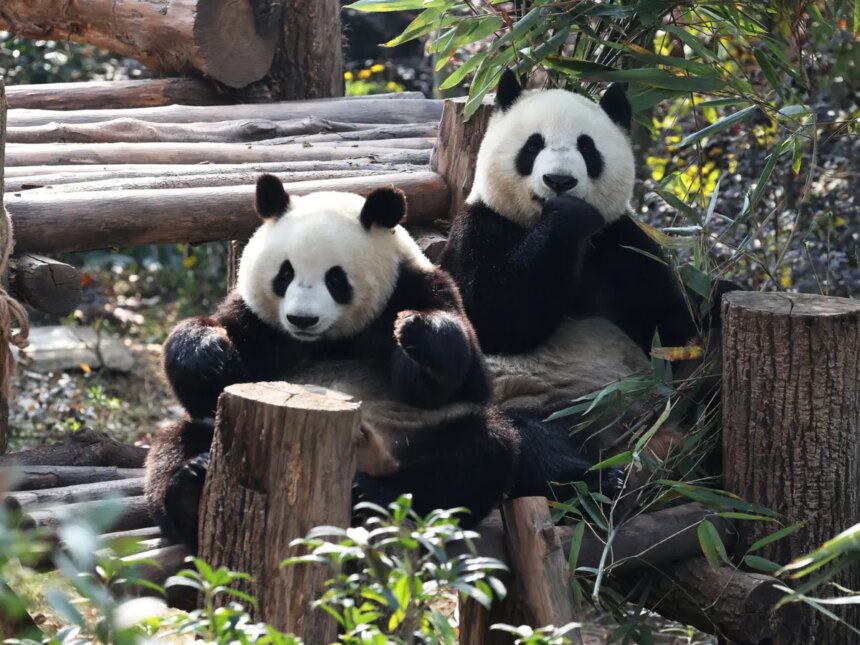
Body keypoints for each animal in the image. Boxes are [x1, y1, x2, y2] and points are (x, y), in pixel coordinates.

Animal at [145, 174, 612, 551]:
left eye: (336, 279)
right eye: (285, 274)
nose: (302, 319)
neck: (330, 340)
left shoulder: (416, 288)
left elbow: (461, 379)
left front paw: (420, 335)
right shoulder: (259, 324)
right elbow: (214, 384)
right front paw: (206, 350)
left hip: (415, 442)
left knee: (481, 452)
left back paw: (376, 496)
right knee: (178, 441)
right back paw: (189, 487)